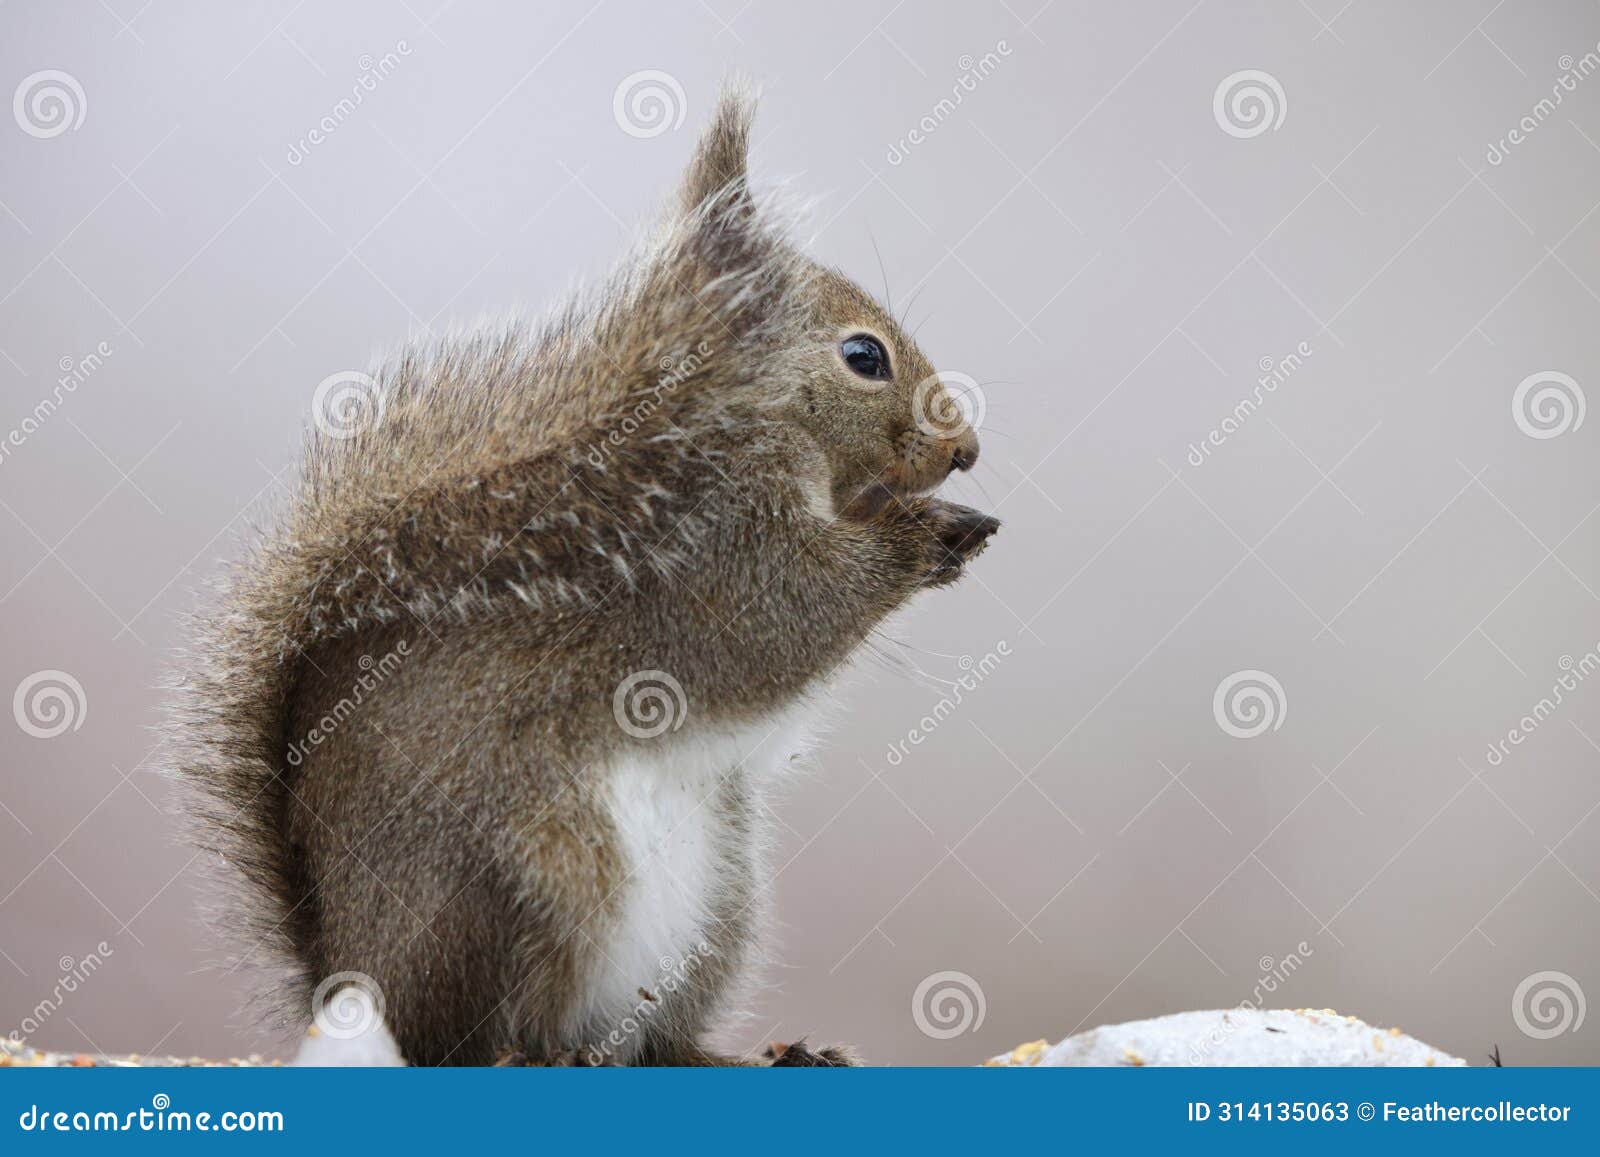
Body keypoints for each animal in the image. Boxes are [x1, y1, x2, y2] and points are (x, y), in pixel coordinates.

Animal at [170, 86, 999, 1067]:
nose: (966, 449)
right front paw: (929, 534)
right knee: (480, 1038)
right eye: (864, 356)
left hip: (722, 894)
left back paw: (756, 1054)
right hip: (545, 872)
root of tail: (348, 973)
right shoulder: (713, 552)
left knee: (655, 1042)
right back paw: (536, 1051)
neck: (740, 430)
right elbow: (787, 618)